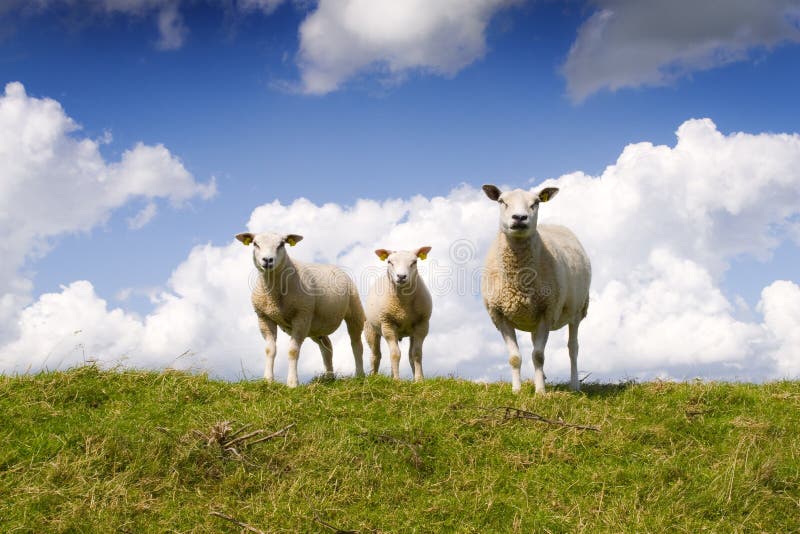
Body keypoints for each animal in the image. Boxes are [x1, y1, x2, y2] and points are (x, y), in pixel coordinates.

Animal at [235, 231, 365, 387]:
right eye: (255, 244)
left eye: (281, 244)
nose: (268, 260)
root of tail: (336, 268)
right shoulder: (264, 317)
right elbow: (269, 350)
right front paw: (267, 381)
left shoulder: (301, 316)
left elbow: (292, 351)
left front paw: (292, 383)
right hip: (315, 326)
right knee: (327, 347)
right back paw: (329, 378)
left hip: (353, 310)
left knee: (356, 344)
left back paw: (360, 375)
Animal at [364, 247, 433, 381]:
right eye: (389, 261)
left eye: (414, 262)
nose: (401, 276)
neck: (403, 305)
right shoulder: (388, 324)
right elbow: (395, 354)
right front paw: (396, 380)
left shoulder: (422, 324)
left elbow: (416, 353)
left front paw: (419, 380)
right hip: (370, 329)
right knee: (375, 355)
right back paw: (373, 377)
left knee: (410, 355)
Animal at [480, 184, 591, 394]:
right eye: (502, 201)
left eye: (536, 202)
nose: (519, 217)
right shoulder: (500, 315)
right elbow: (515, 357)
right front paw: (517, 390)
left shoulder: (547, 312)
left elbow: (539, 356)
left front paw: (540, 392)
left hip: (577, 311)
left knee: (573, 348)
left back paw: (574, 385)